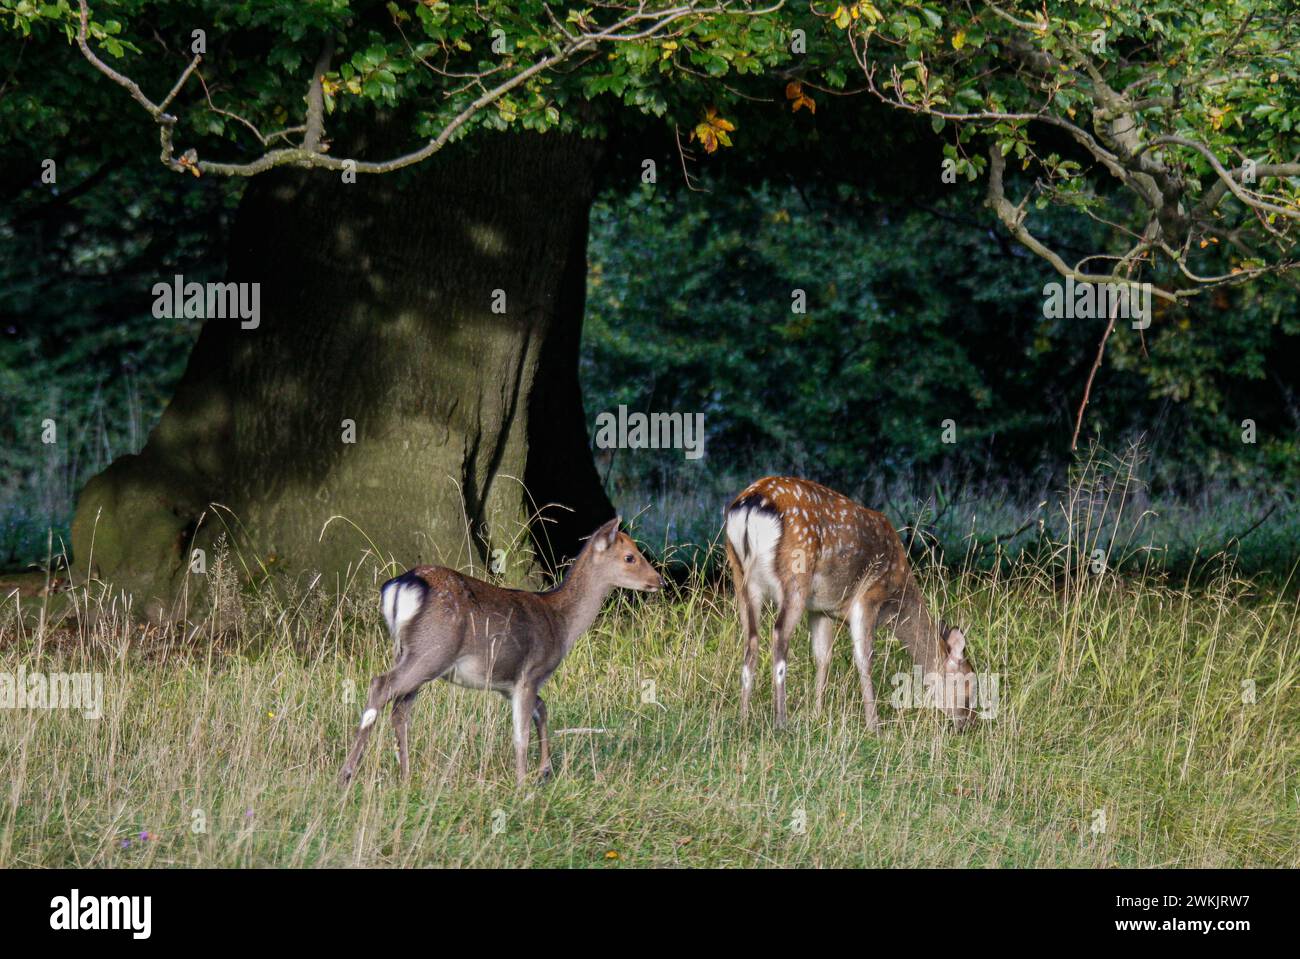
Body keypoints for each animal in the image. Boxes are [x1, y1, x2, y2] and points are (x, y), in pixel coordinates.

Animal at [339, 517, 663, 788]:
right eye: (630, 557)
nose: (658, 581)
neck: (561, 623)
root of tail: (399, 587)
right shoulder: (530, 672)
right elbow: (520, 733)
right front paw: (522, 785)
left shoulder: (509, 684)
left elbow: (542, 710)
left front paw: (544, 772)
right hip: (431, 651)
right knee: (380, 685)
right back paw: (347, 774)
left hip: (408, 651)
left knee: (400, 709)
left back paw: (405, 776)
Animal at [723, 476, 977, 731]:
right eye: (969, 685)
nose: (967, 723)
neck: (895, 597)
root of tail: (751, 504)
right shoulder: (869, 597)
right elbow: (864, 659)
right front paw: (874, 725)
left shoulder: (821, 608)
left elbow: (823, 657)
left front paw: (817, 714)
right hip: (796, 574)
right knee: (779, 635)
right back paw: (781, 722)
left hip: (740, 577)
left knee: (751, 640)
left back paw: (743, 719)